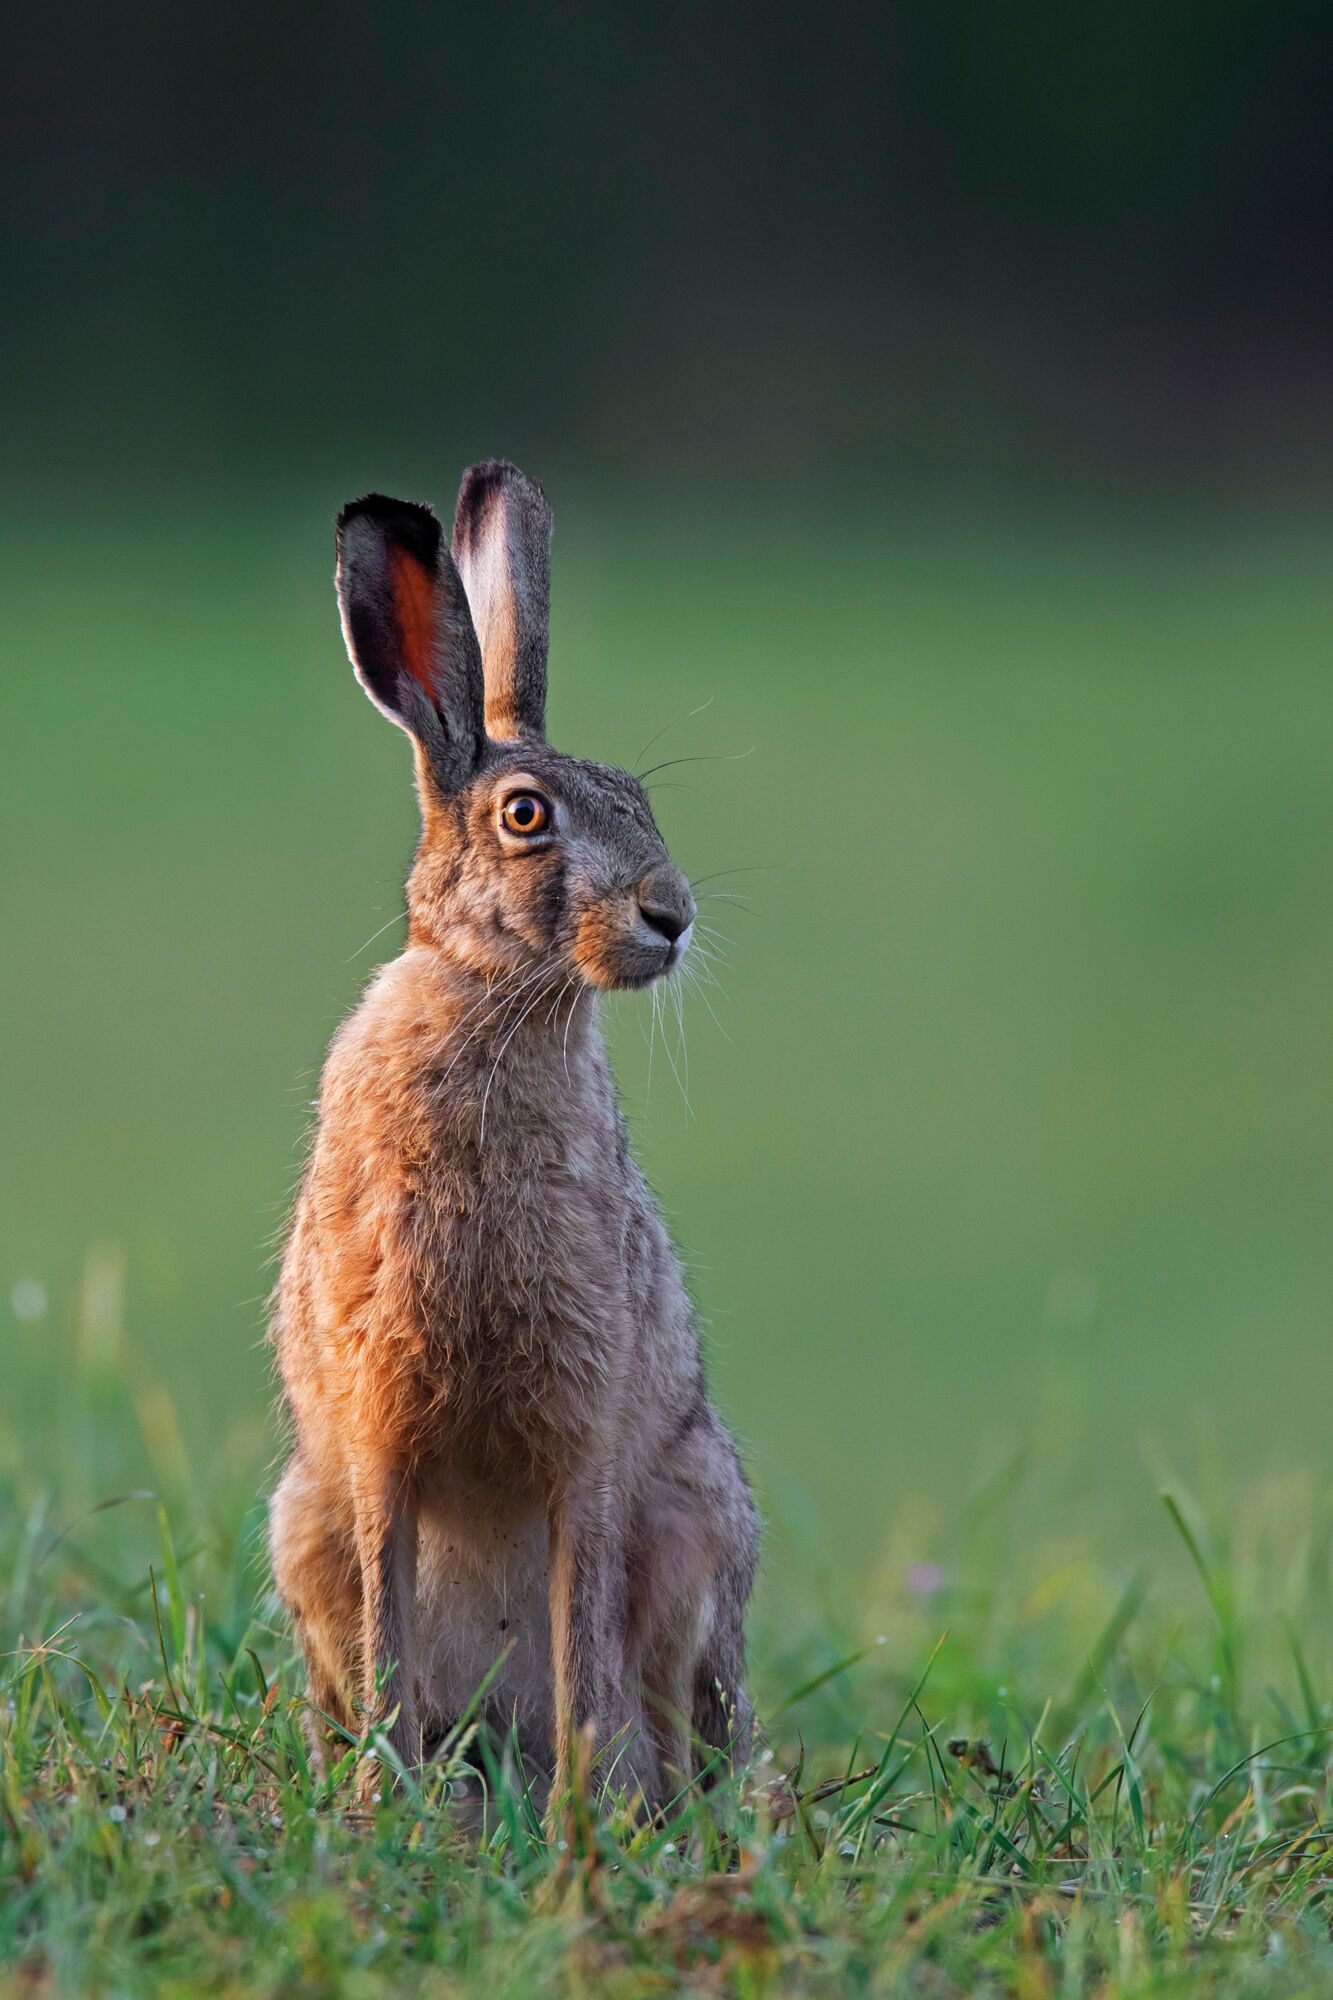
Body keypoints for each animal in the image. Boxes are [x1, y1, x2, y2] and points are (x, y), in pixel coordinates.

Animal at [268, 461, 758, 1812]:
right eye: (525, 815)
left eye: (641, 802)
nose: (670, 916)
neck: (500, 999)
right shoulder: (377, 1442)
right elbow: (385, 1619)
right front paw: (383, 1803)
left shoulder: (581, 1445)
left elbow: (580, 1624)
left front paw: (591, 1816)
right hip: (301, 1522)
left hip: (695, 1526)